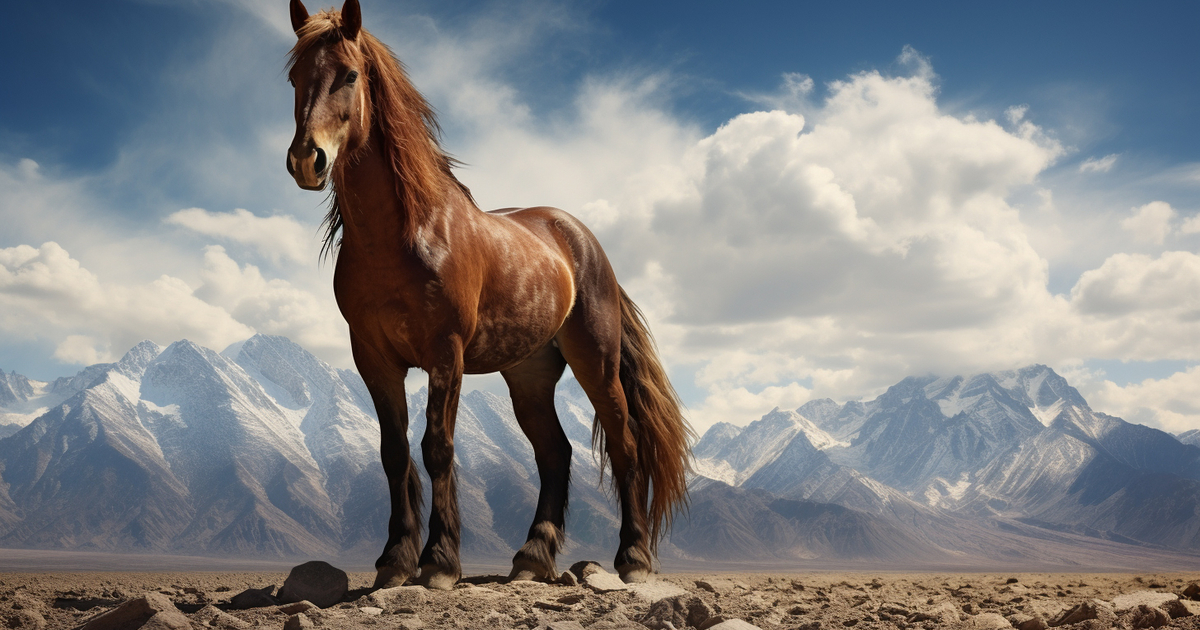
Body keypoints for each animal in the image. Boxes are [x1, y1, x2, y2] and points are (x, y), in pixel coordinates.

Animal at [283, 0, 693, 589]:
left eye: (350, 75)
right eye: (294, 77)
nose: (306, 160)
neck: (405, 236)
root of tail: (582, 240)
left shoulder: (445, 353)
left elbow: (437, 449)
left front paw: (438, 562)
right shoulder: (373, 357)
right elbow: (393, 453)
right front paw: (394, 560)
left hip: (596, 361)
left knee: (624, 441)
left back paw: (633, 557)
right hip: (529, 374)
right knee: (554, 452)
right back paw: (532, 557)